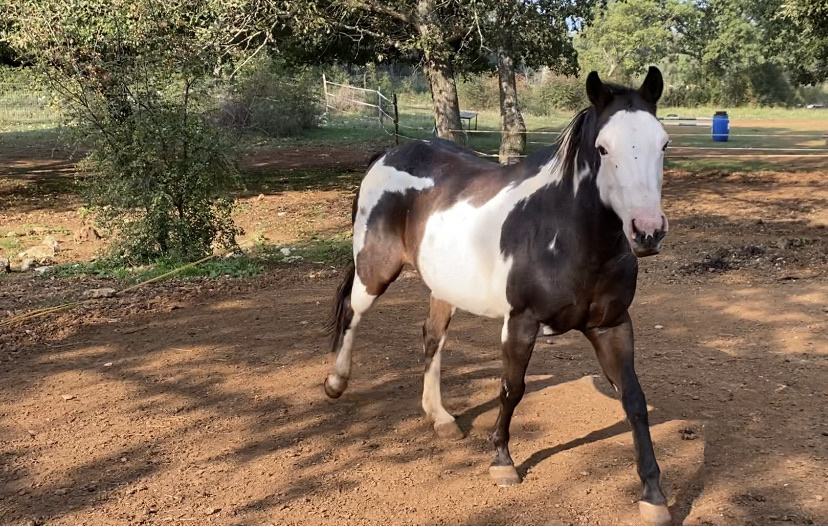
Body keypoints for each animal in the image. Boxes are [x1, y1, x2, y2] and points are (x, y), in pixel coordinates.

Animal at [324, 67, 672, 525]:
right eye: (603, 147)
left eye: (663, 143)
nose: (647, 231)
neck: (565, 234)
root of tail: (388, 154)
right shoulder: (520, 322)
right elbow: (512, 388)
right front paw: (502, 462)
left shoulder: (612, 326)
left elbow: (634, 399)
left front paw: (653, 493)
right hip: (374, 271)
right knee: (352, 312)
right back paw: (335, 382)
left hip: (444, 286)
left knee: (431, 337)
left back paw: (440, 417)